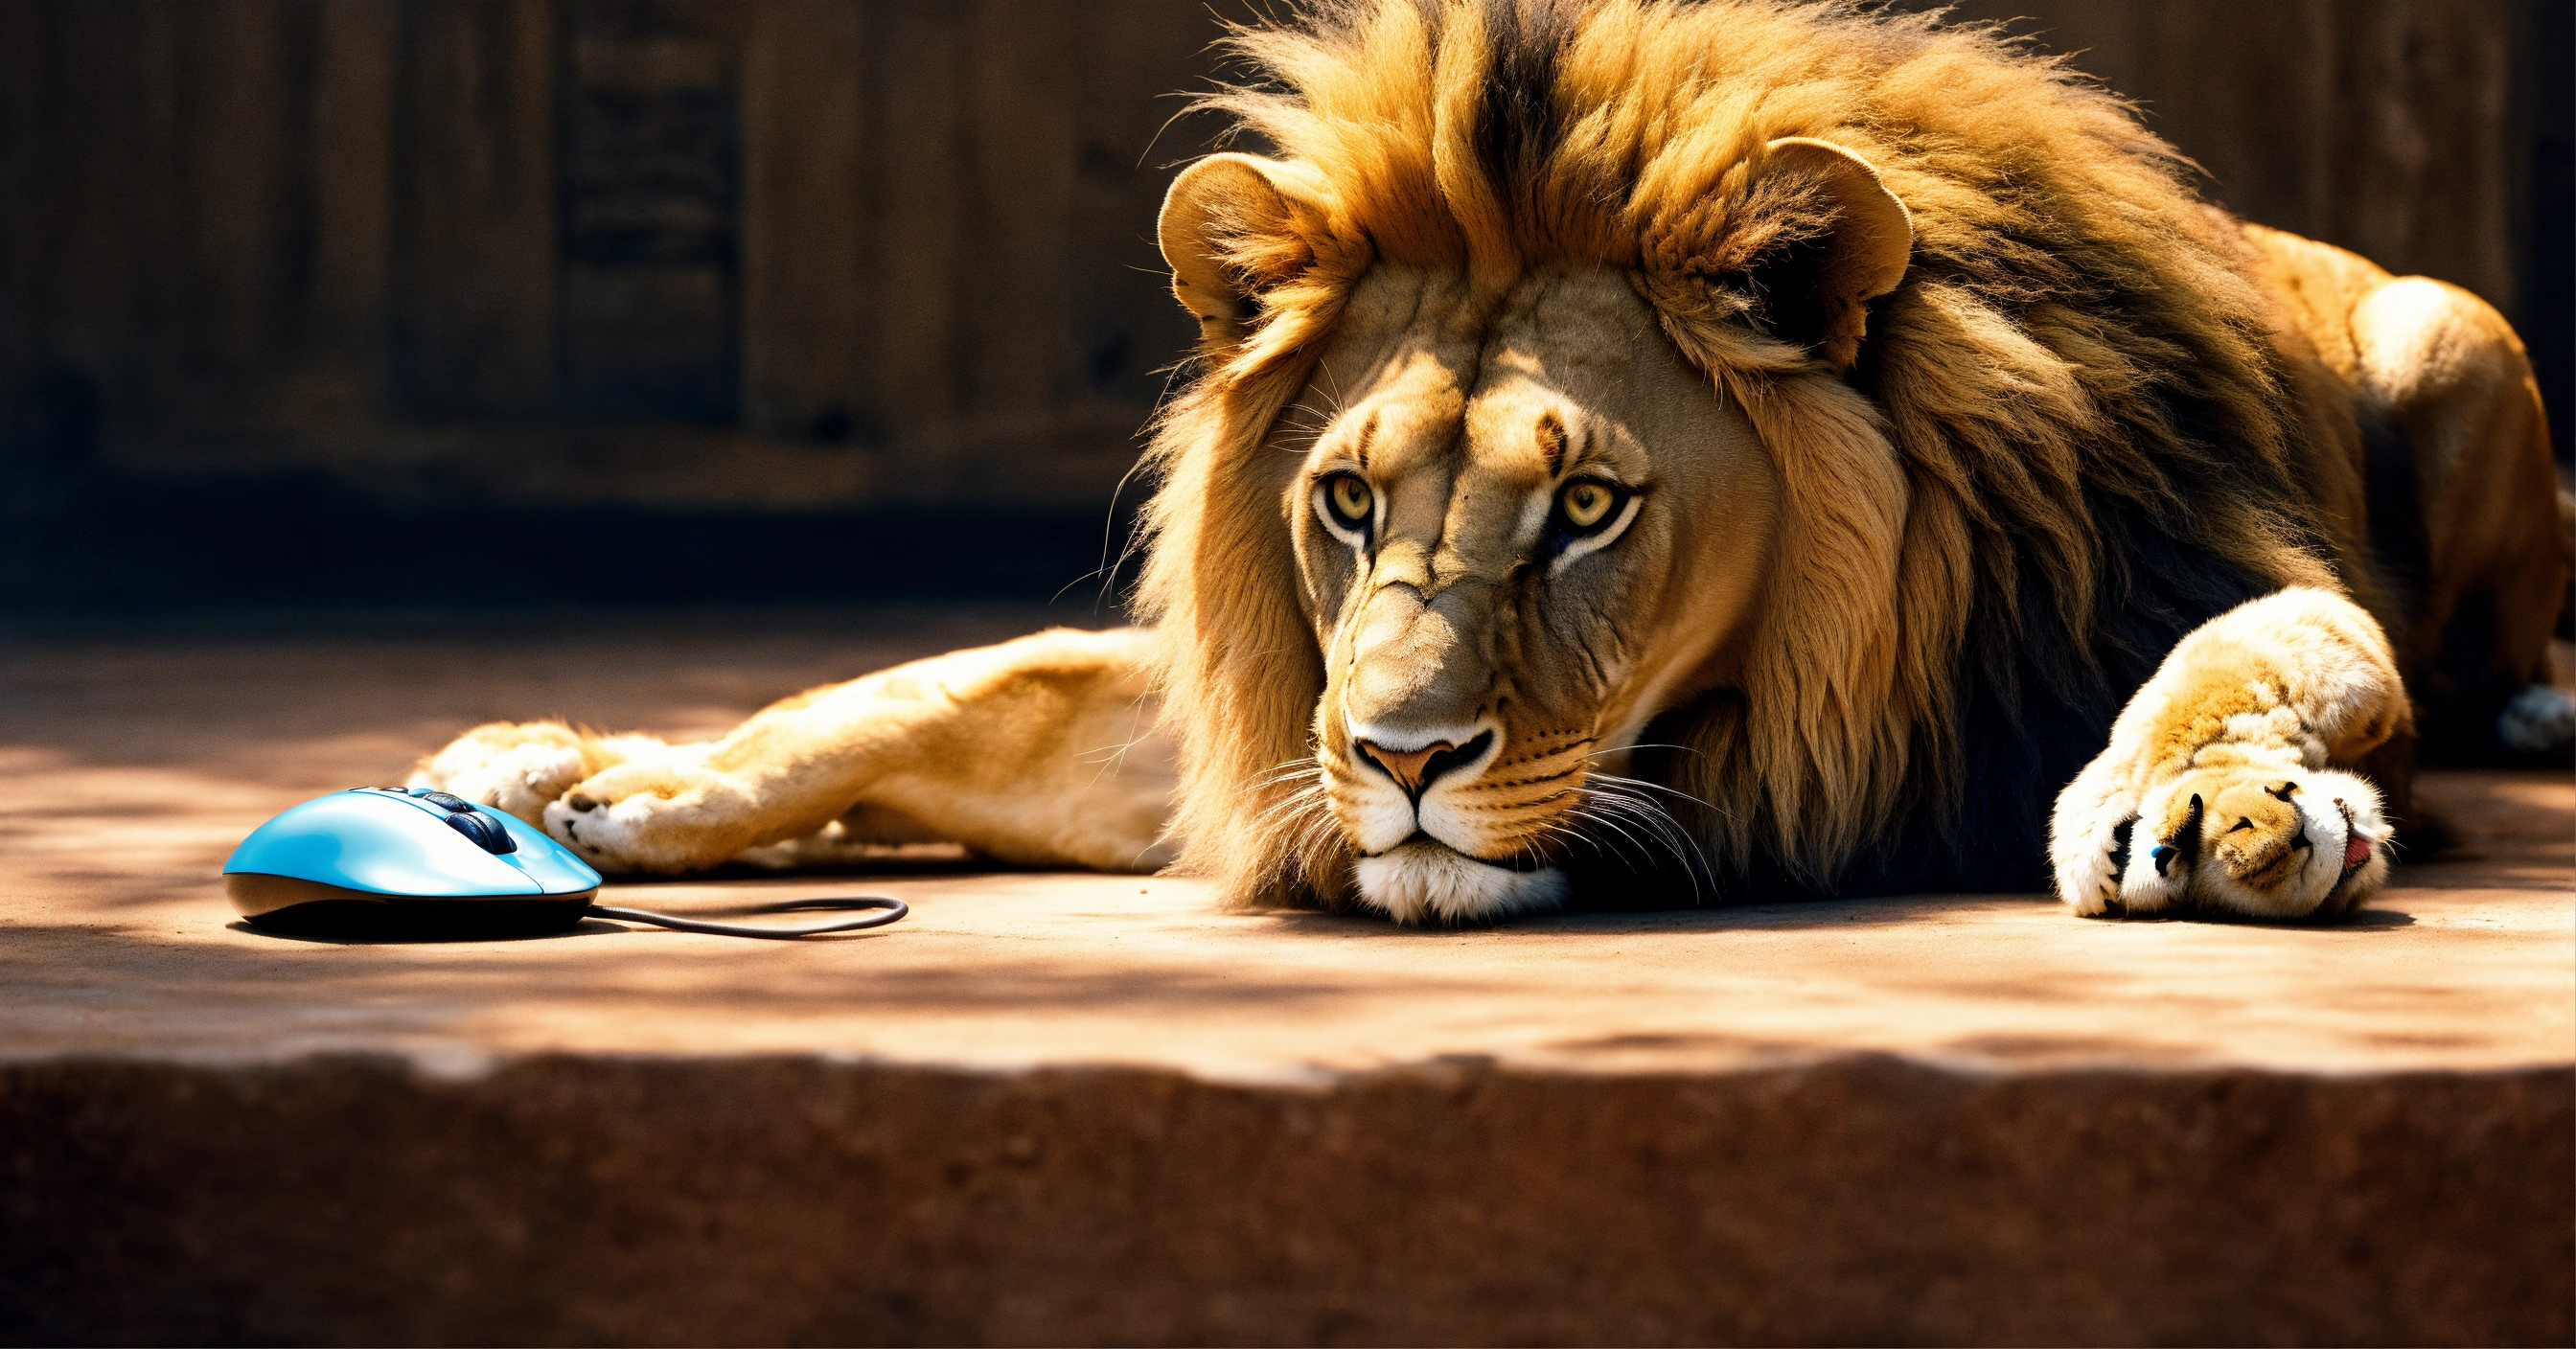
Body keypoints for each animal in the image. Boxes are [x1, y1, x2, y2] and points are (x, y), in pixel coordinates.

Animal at [416, 0, 2570, 926]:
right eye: (1347, 499)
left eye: (1591, 505)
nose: (1399, 765)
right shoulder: (1255, 727)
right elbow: (964, 684)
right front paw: (581, 779)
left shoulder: (2158, 588)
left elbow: (2283, 645)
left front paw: (2212, 803)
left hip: (2452, 334)